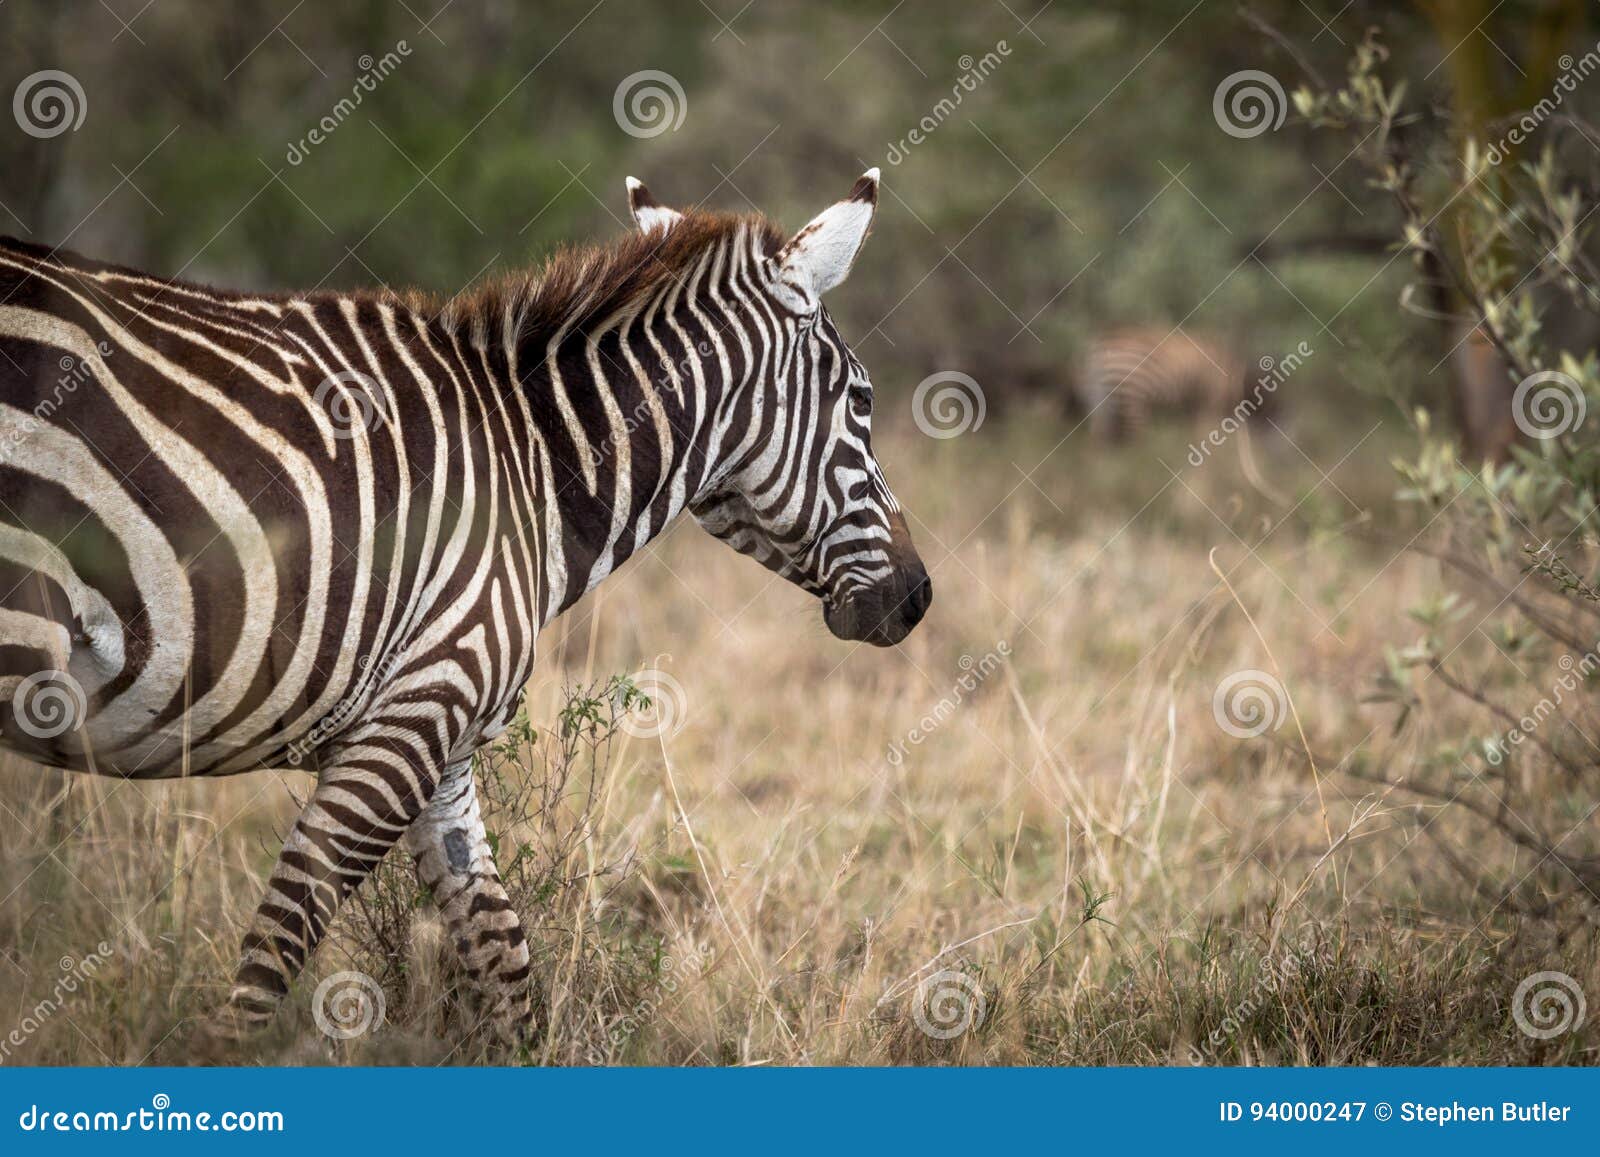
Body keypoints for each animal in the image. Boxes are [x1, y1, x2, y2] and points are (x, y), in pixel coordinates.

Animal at [0, 167, 931, 1042]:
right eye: (862, 401)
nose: (917, 599)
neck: (536, 465)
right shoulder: (418, 707)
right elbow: (277, 949)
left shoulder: (439, 735)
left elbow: (502, 954)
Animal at [1072, 327, 1269, 440]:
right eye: (1240, 382)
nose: (1241, 401)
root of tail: (1100, 343)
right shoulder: (1209, 395)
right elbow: (1205, 426)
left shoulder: (1194, 398)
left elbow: (1193, 427)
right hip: (1133, 394)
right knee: (1135, 436)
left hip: (1098, 393)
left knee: (1098, 435)